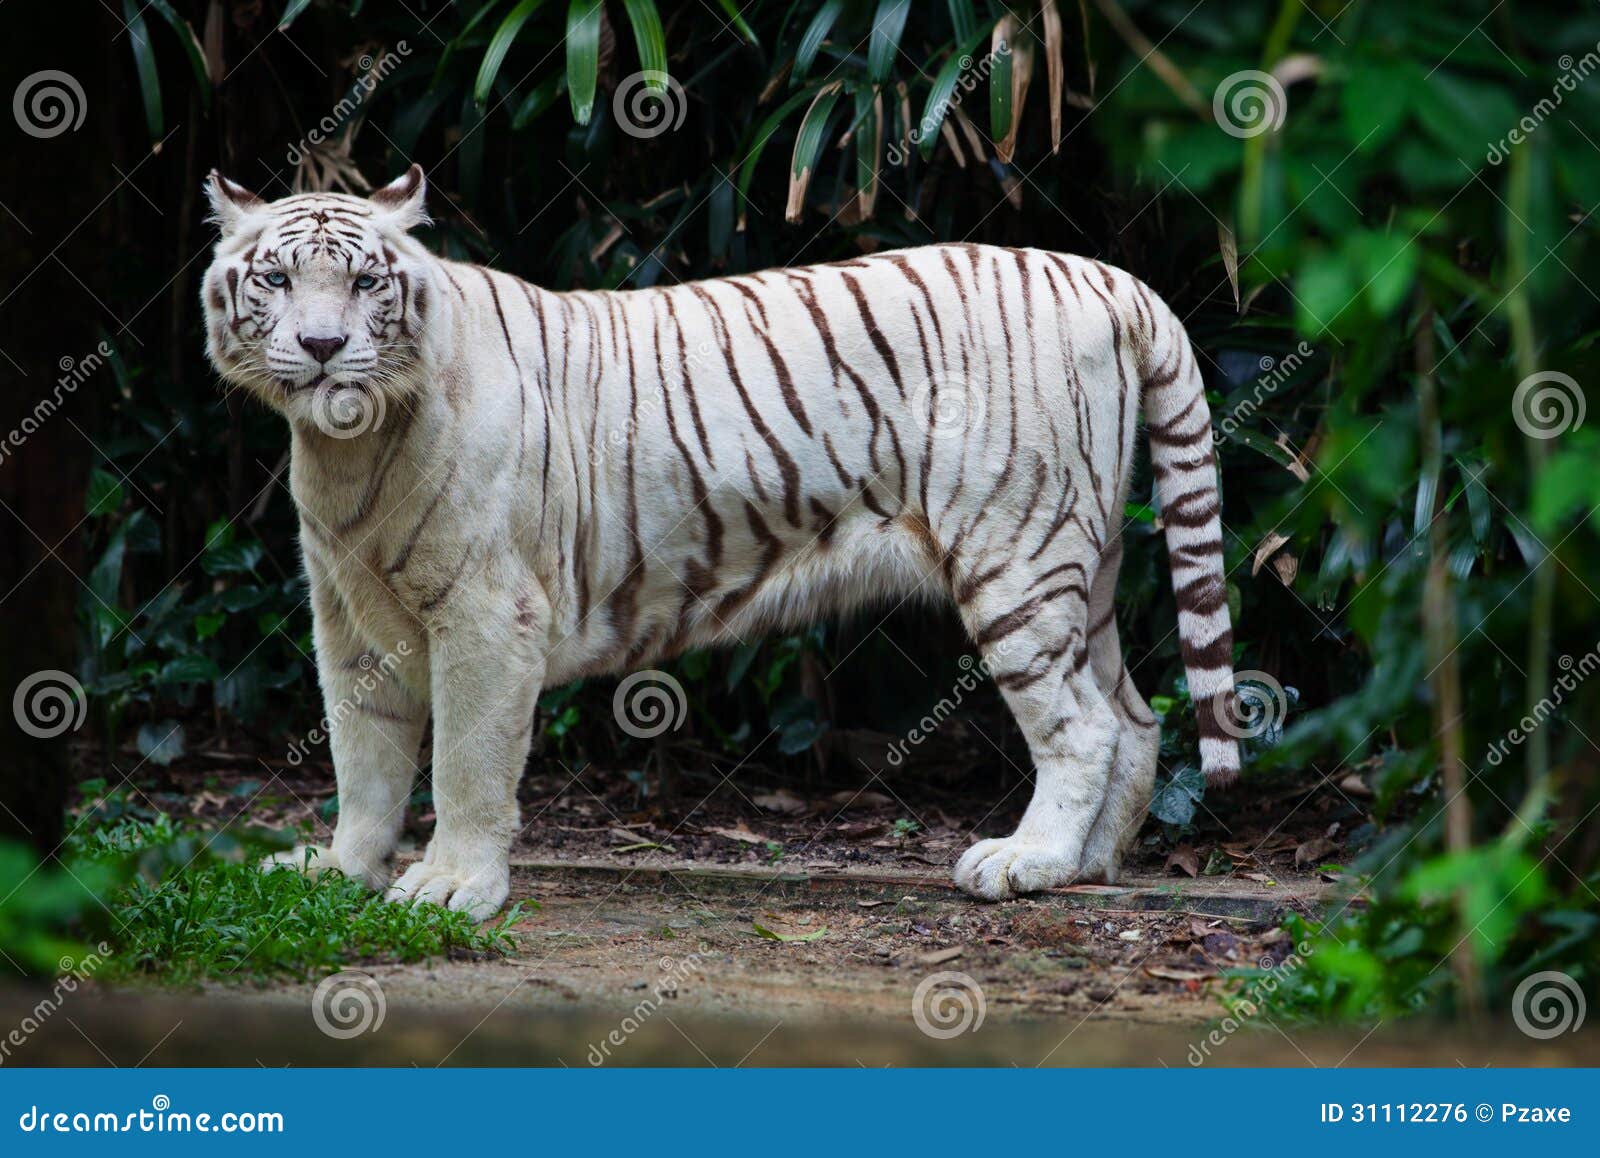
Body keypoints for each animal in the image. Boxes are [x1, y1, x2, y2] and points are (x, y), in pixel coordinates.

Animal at [201, 164, 1239, 920]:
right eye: (278, 279)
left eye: (366, 281)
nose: (324, 346)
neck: (345, 450)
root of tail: (1107, 277)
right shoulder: (349, 618)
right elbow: (363, 759)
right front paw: (343, 868)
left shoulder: (489, 615)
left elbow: (464, 761)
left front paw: (453, 888)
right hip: (1081, 564)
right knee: (1134, 718)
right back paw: (1090, 866)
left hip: (1015, 556)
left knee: (1084, 726)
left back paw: (1026, 862)